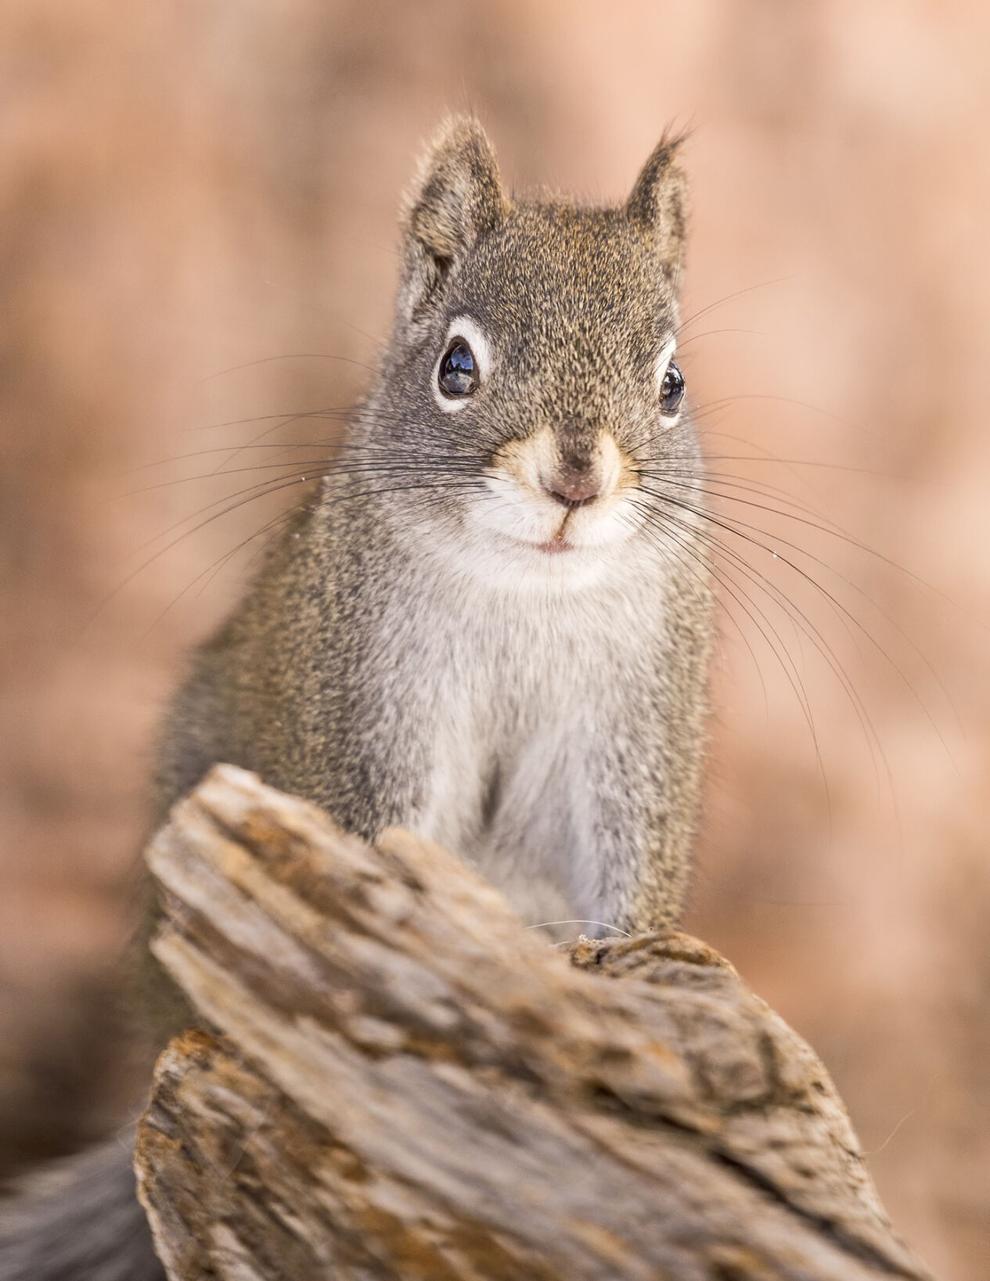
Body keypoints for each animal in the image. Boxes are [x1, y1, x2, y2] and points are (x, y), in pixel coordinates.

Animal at [0, 117, 713, 1281]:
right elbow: (374, 858)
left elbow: (630, 865)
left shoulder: (638, 723)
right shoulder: (370, 704)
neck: (526, 589)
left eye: (675, 382)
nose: (576, 478)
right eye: (455, 367)